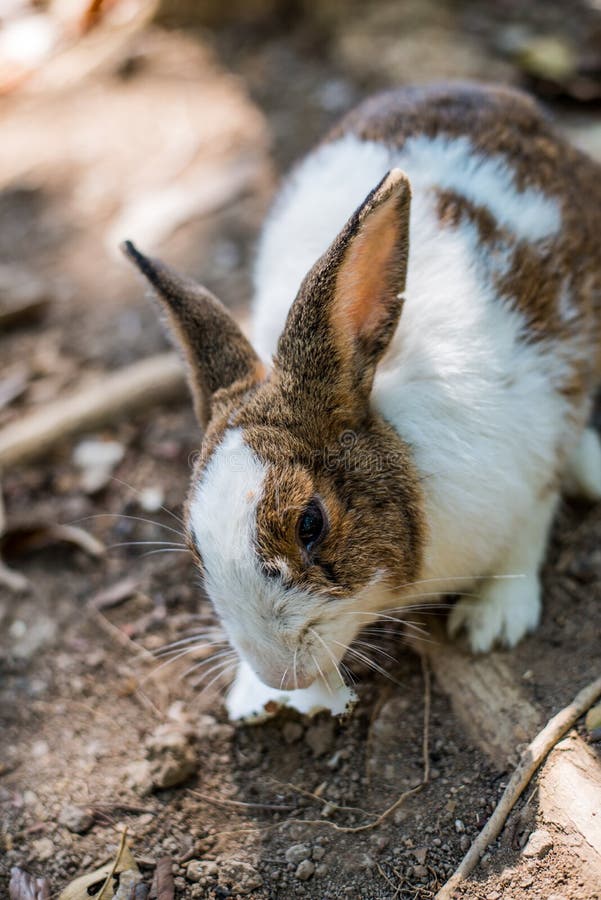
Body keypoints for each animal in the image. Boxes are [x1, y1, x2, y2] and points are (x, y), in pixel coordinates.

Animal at [123, 82, 601, 721]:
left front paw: (493, 621)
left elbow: (530, 528)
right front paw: (258, 698)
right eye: (194, 543)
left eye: (311, 523)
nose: (279, 673)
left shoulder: (541, 431)